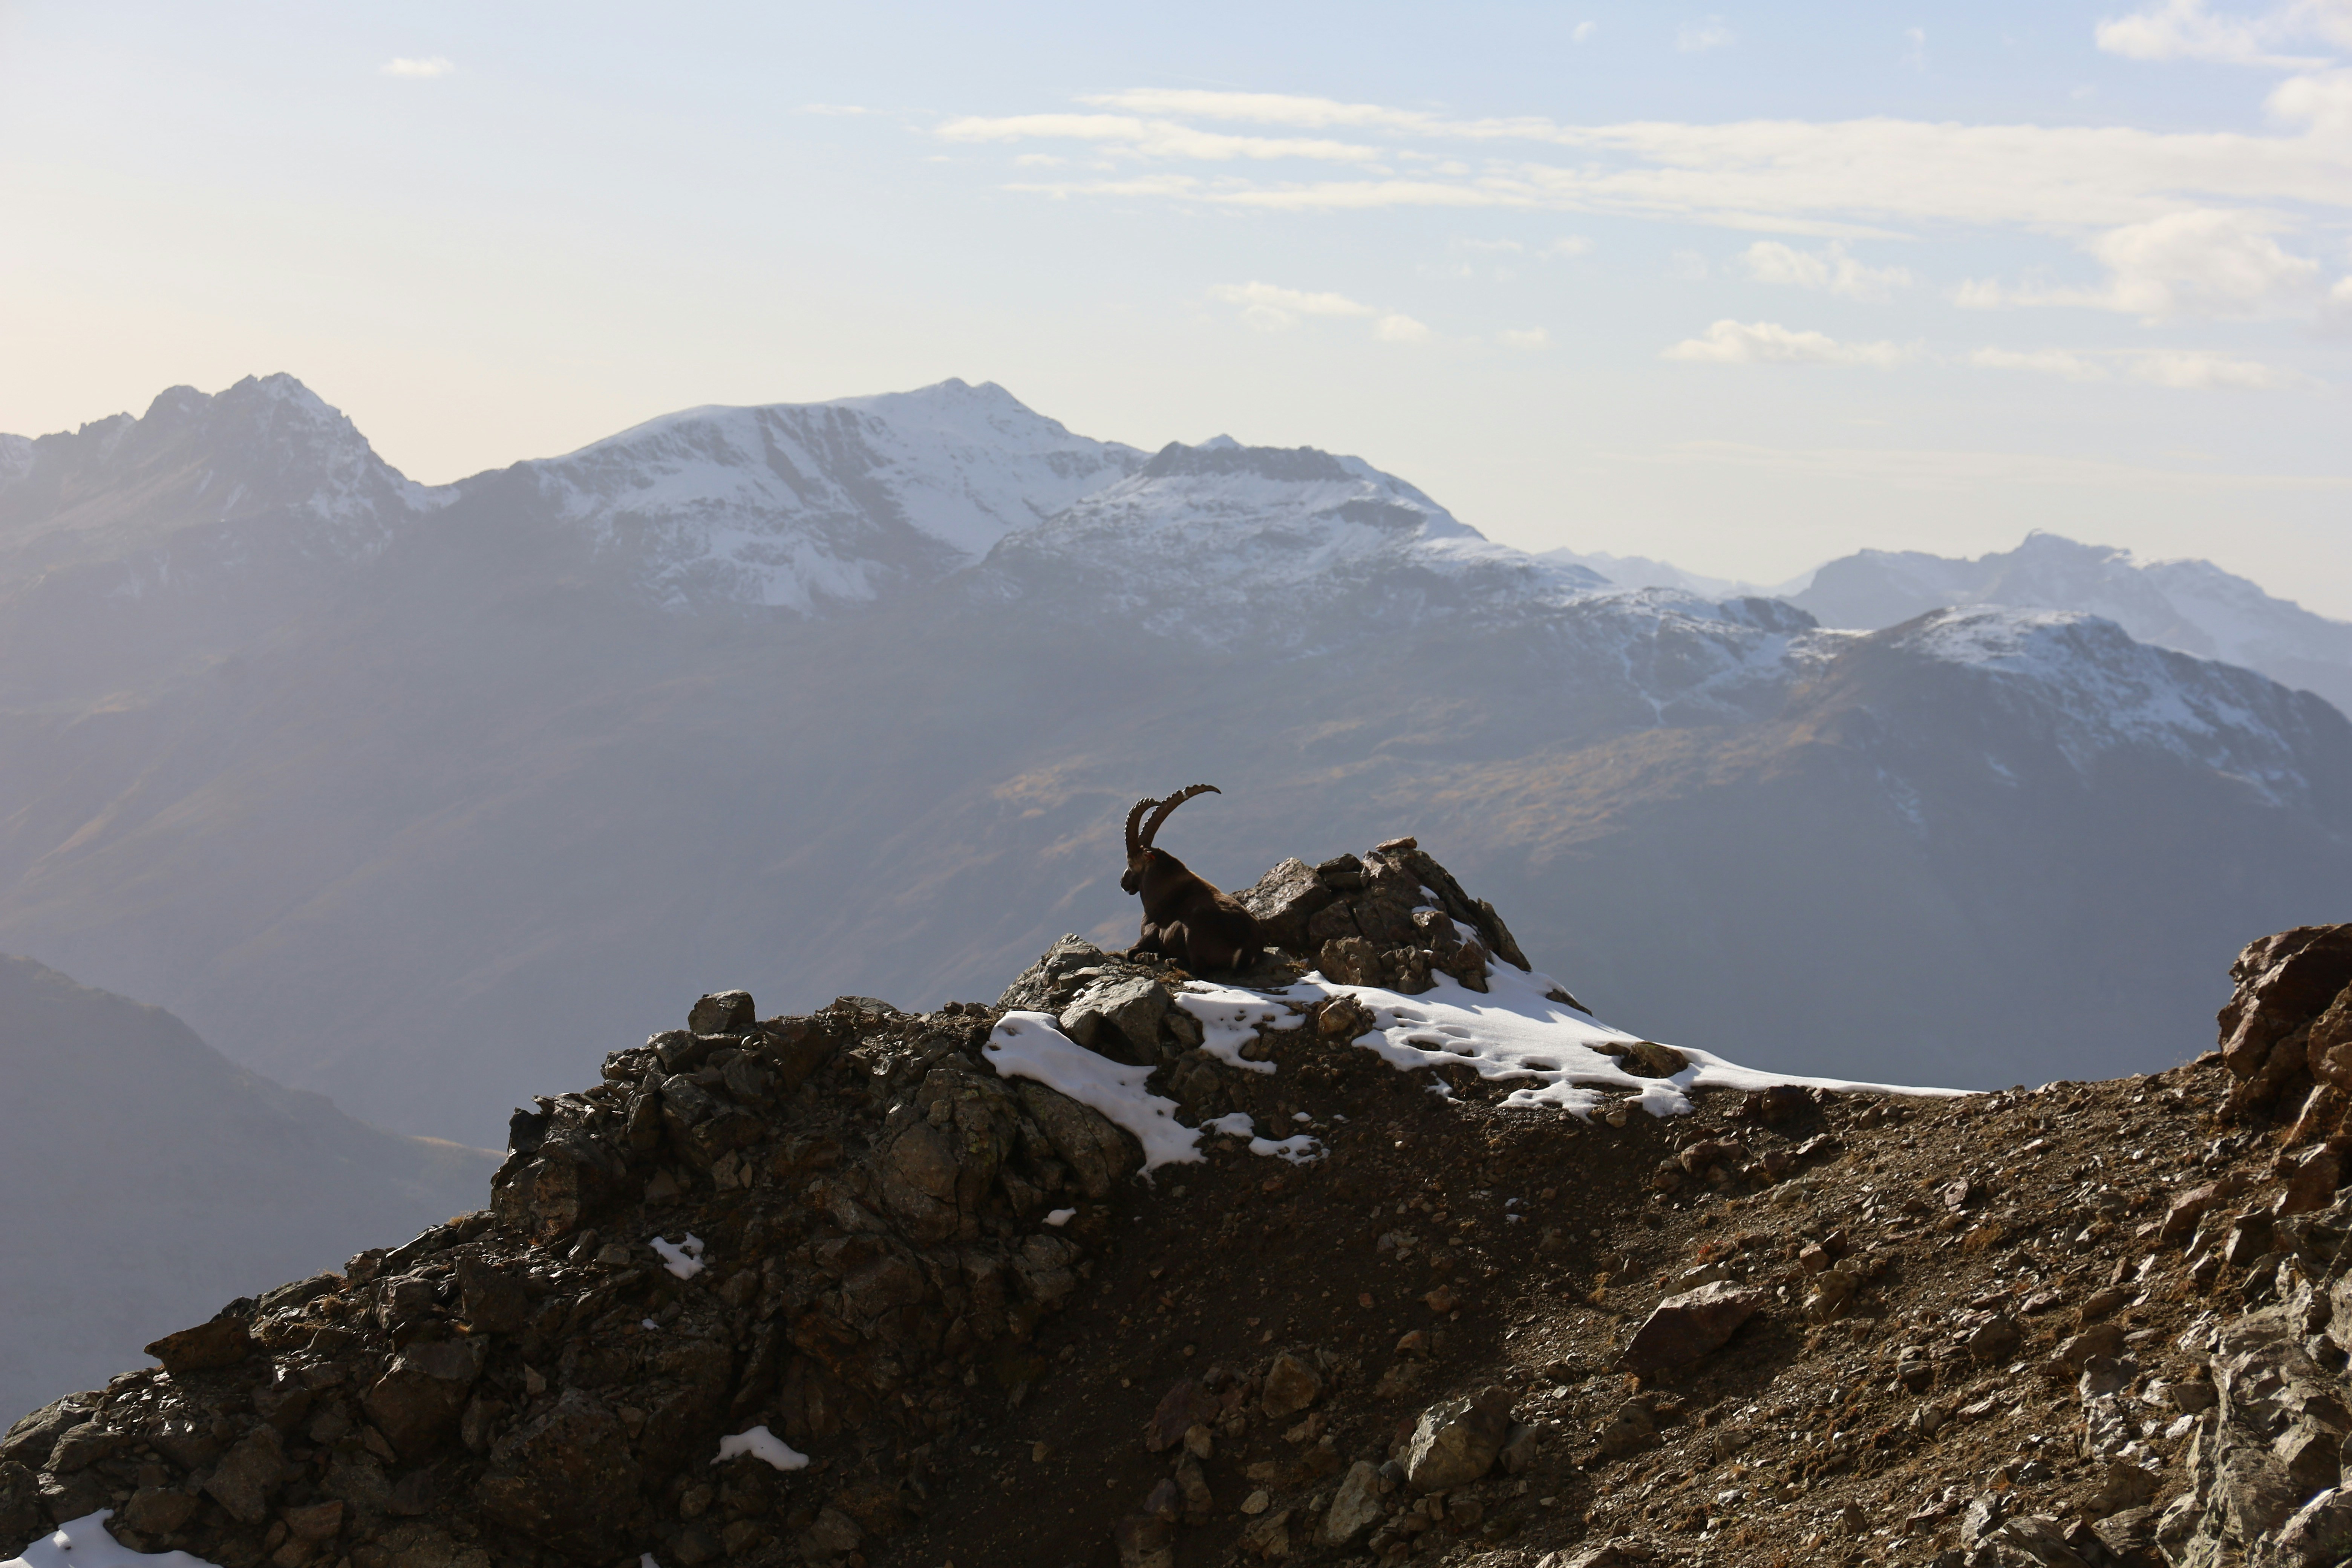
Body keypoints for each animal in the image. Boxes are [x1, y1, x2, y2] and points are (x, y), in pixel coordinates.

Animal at [1120, 784, 1262, 973]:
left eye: (1131, 863)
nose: (1123, 883)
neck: (1163, 889)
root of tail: (1246, 948)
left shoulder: (1150, 934)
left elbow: (1130, 952)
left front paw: (1146, 957)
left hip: (1193, 930)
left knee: (1198, 968)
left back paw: (1173, 961)